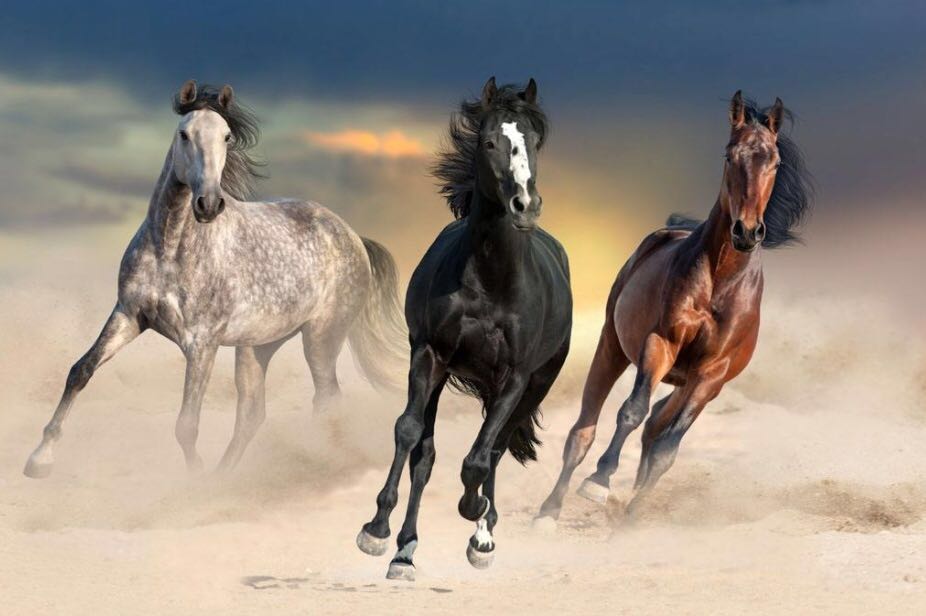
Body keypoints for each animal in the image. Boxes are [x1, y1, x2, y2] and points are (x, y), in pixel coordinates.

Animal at [24, 80, 406, 479]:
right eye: (184, 134)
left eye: (226, 137)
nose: (208, 204)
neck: (170, 249)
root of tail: (353, 236)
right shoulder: (128, 316)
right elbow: (80, 371)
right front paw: (39, 459)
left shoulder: (201, 343)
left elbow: (187, 424)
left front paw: (195, 480)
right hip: (257, 347)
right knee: (253, 413)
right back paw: (227, 477)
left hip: (320, 339)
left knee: (327, 399)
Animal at [355, 78, 572, 580]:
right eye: (489, 141)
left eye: (535, 141)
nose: (525, 206)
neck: (490, 283)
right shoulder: (428, 355)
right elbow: (409, 434)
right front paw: (377, 532)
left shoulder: (515, 377)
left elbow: (478, 459)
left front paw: (476, 518)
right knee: (426, 456)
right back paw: (405, 551)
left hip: (534, 384)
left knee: (494, 451)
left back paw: (482, 536)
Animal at [536, 91, 813, 525]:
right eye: (729, 155)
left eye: (775, 160)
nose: (747, 231)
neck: (719, 281)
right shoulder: (660, 343)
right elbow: (631, 411)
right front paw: (598, 482)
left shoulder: (711, 375)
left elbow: (667, 447)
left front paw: (633, 516)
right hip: (612, 345)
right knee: (585, 428)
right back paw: (549, 510)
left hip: (687, 384)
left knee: (656, 426)